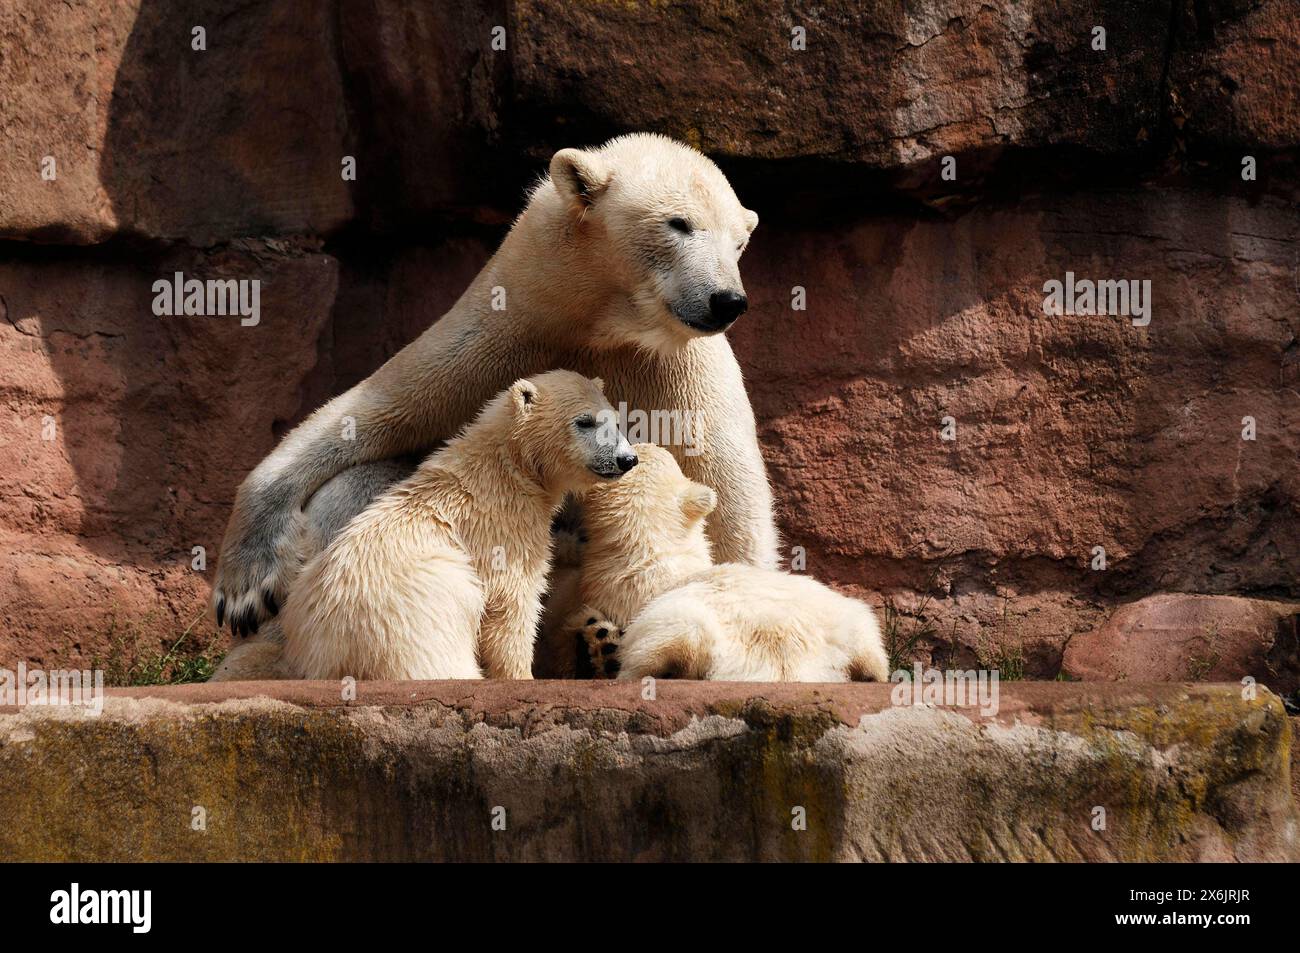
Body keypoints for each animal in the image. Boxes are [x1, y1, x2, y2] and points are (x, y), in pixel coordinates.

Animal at [211, 133, 778, 642]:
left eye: (739, 242)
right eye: (678, 223)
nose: (727, 300)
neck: (603, 321)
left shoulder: (678, 371)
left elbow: (728, 494)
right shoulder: (508, 329)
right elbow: (382, 408)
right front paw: (246, 590)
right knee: (358, 484)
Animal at [277, 370, 637, 681]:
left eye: (615, 421)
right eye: (585, 421)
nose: (627, 459)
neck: (508, 469)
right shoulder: (503, 526)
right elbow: (511, 603)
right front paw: (521, 674)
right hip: (413, 616)